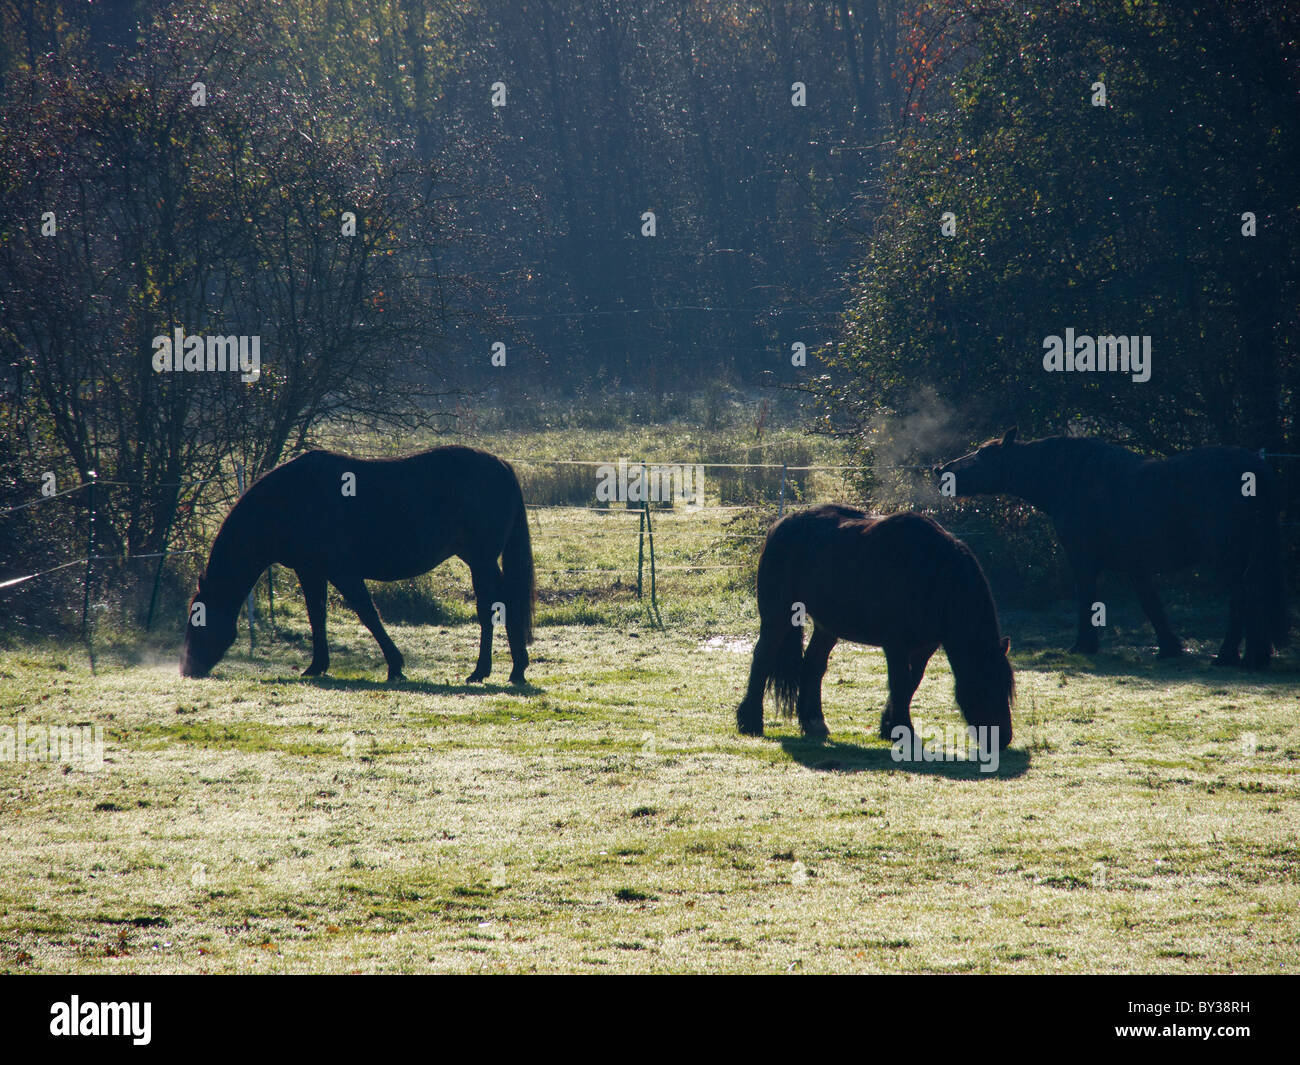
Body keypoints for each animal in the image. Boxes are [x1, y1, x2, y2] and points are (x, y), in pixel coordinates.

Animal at [181, 446, 535, 683]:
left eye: (198, 619)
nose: (187, 669)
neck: (289, 500)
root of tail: (502, 465)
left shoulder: (342, 572)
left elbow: (367, 614)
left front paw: (395, 665)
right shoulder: (311, 571)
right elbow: (318, 615)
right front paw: (317, 665)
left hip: (481, 561)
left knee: (491, 607)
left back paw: (485, 670)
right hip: (480, 561)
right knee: (504, 601)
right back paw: (514, 668)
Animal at [736, 505, 1014, 749]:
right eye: (986, 686)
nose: (1003, 738)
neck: (935, 574)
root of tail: (779, 526)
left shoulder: (925, 647)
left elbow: (912, 682)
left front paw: (889, 726)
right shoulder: (896, 645)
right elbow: (900, 682)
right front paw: (902, 731)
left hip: (827, 628)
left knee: (813, 666)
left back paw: (814, 723)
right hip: (778, 616)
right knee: (762, 658)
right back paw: (750, 722)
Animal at [934, 428, 1288, 668]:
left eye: (983, 454)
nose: (942, 471)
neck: (1069, 478)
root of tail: (1257, 469)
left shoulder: (1084, 559)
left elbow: (1088, 598)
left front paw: (1083, 645)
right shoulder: (1135, 565)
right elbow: (1151, 605)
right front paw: (1170, 648)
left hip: (1227, 558)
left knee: (1243, 595)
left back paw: (1232, 655)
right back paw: (1253, 655)